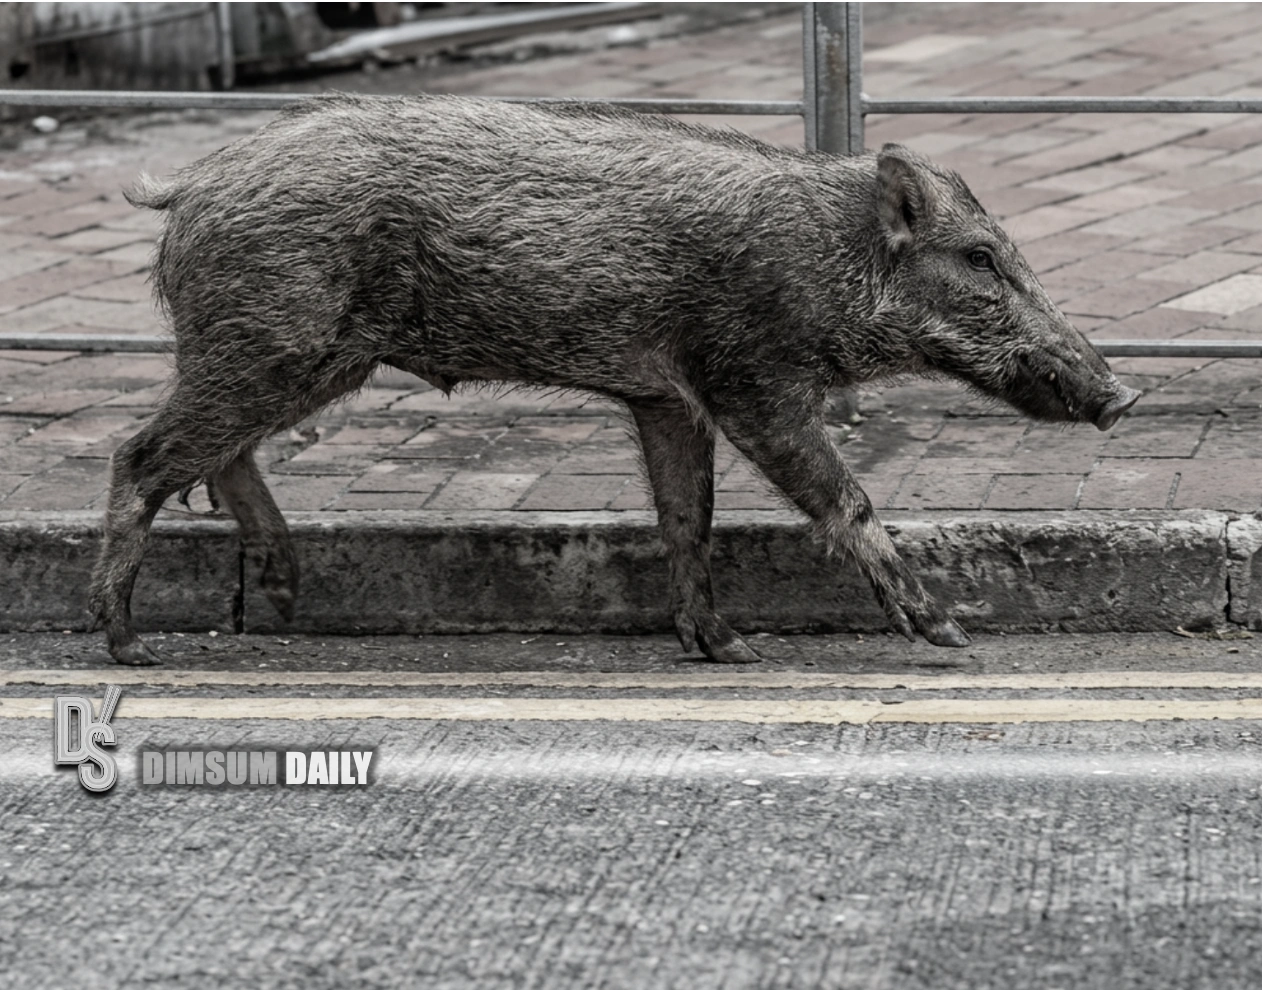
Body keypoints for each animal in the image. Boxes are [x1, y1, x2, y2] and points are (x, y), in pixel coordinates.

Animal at [90, 94, 1140, 666]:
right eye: (980, 259)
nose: (1122, 395)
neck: (826, 261)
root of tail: (189, 186)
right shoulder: (748, 380)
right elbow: (844, 499)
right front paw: (949, 636)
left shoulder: (664, 396)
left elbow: (687, 517)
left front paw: (726, 648)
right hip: (272, 343)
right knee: (139, 456)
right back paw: (130, 643)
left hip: (306, 359)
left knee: (215, 460)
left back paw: (284, 597)